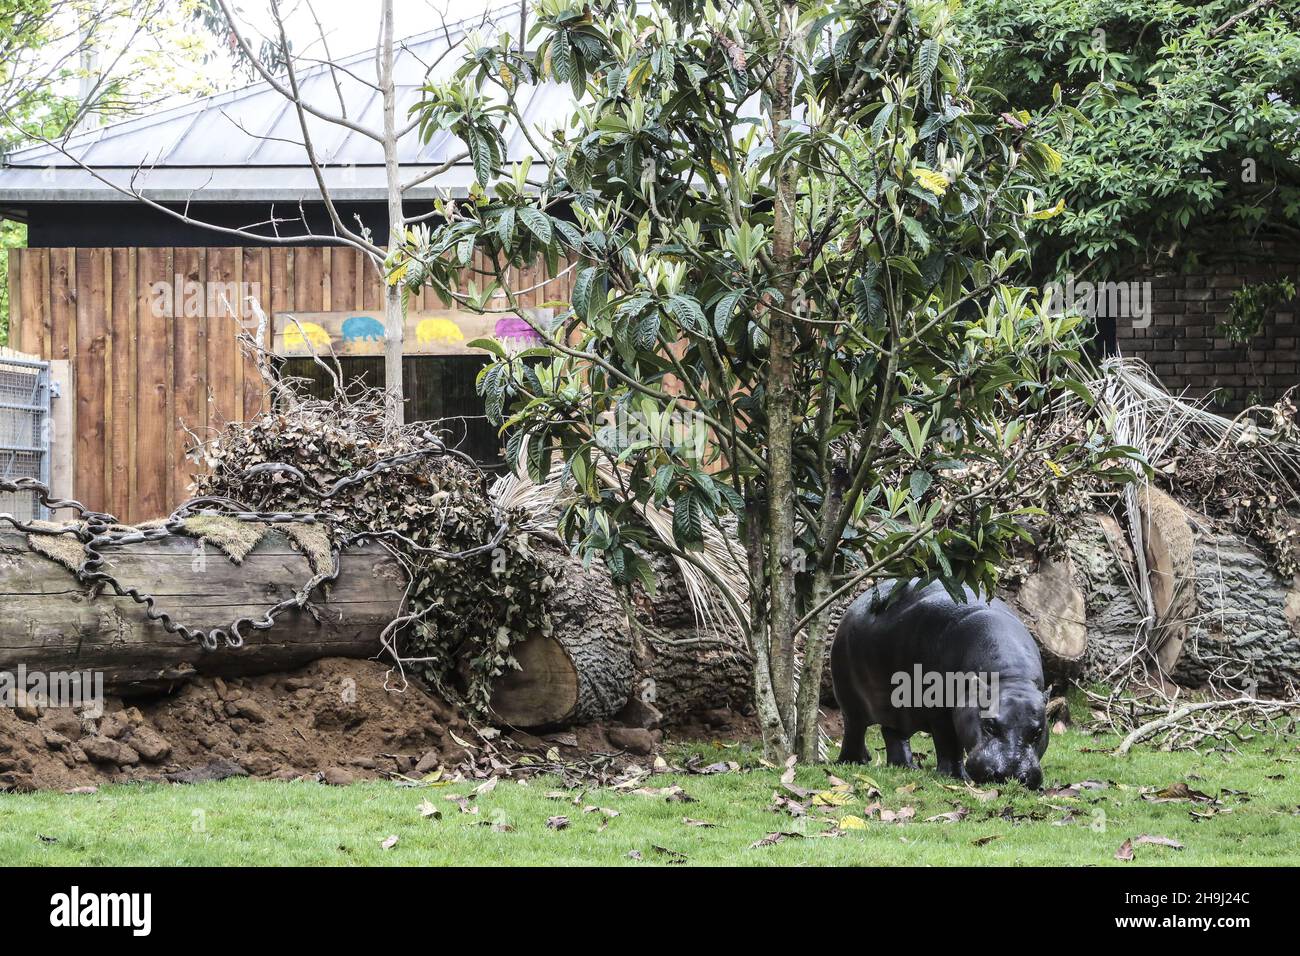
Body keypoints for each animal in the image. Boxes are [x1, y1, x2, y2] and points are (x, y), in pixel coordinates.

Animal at [830, 578, 1048, 788]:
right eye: (989, 725)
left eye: (1038, 732)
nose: (1009, 775)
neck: (1008, 679)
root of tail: (857, 602)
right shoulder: (940, 711)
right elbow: (949, 741)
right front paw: (955, 777)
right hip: (850, 700)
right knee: (854, 729)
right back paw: (854, 762)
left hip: (898, 709)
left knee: (892, 733)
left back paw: (907, 767)